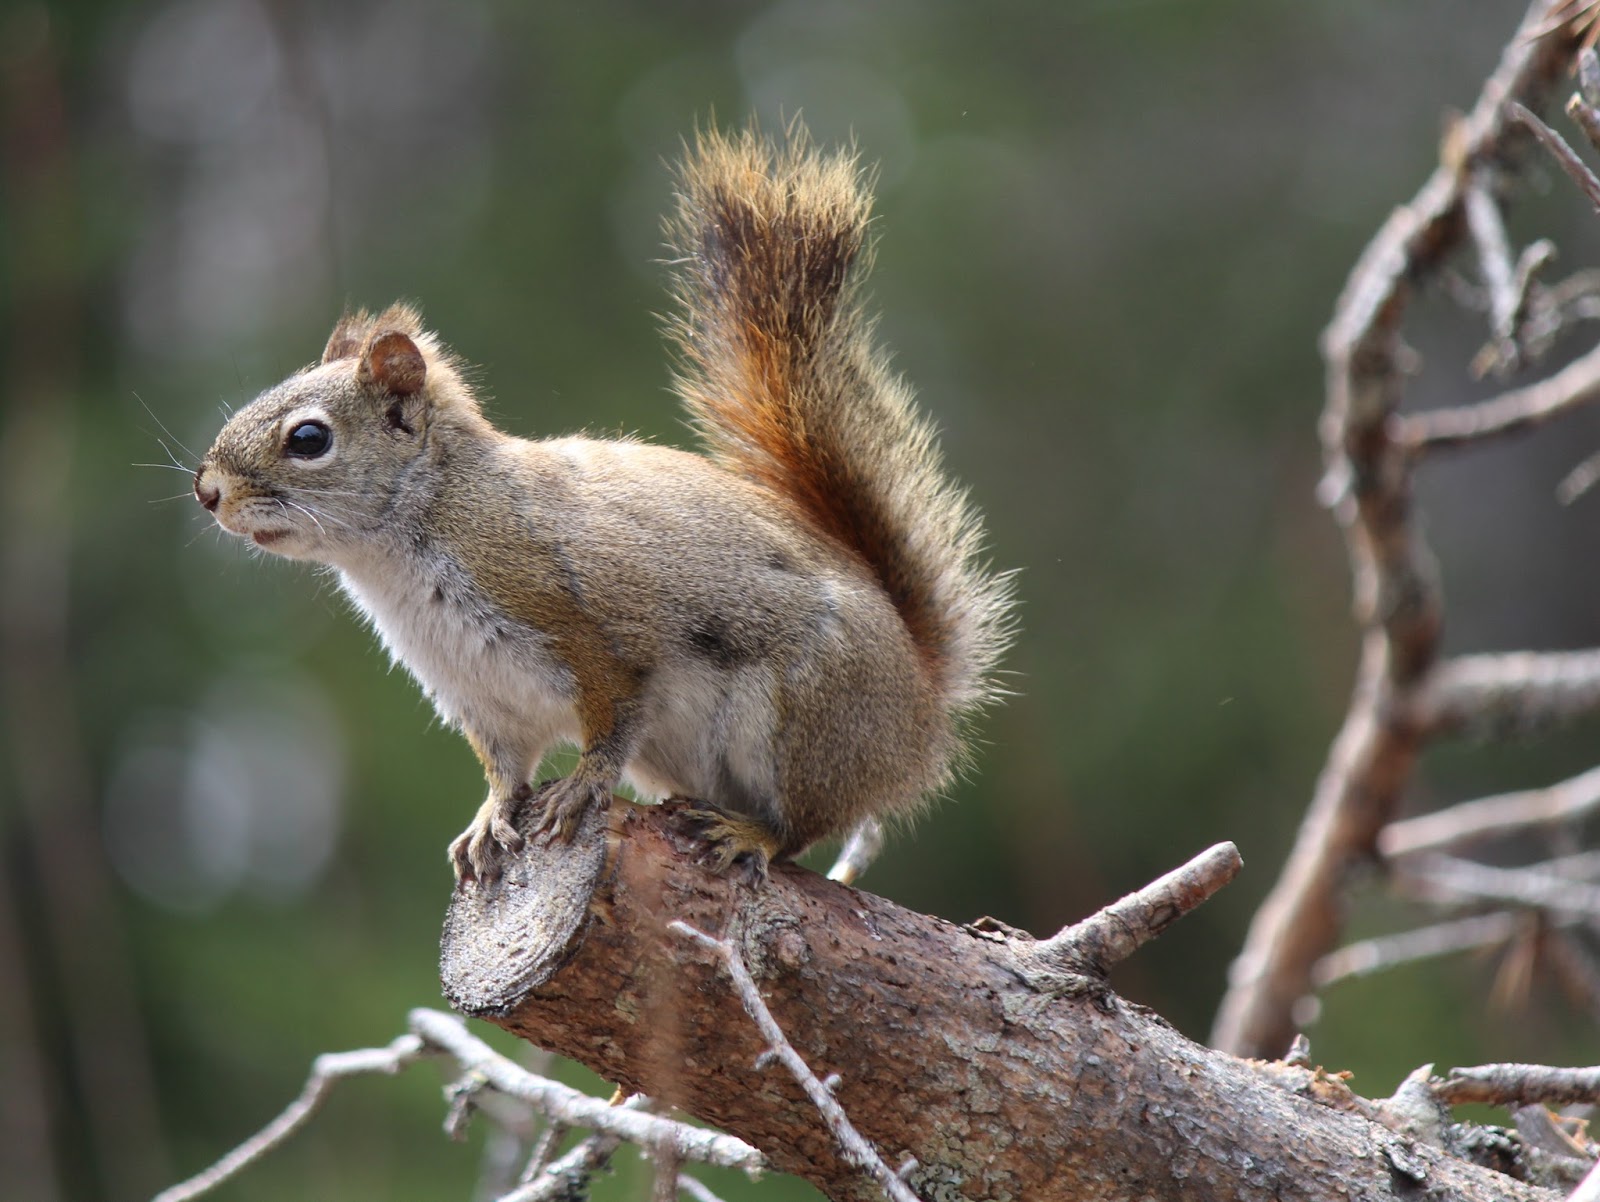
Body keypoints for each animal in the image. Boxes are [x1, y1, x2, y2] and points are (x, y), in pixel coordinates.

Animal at [193, 124, 1015, 884]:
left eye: (308, 439)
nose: (207, 491)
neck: (421, 529)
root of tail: (922, 714)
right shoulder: (480, 698)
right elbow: (504, 770)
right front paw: (489, 821)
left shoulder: (588, 629)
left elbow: (611, 721)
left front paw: (581, 788)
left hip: (803, 719)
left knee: (805, 825)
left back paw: (748, 835)